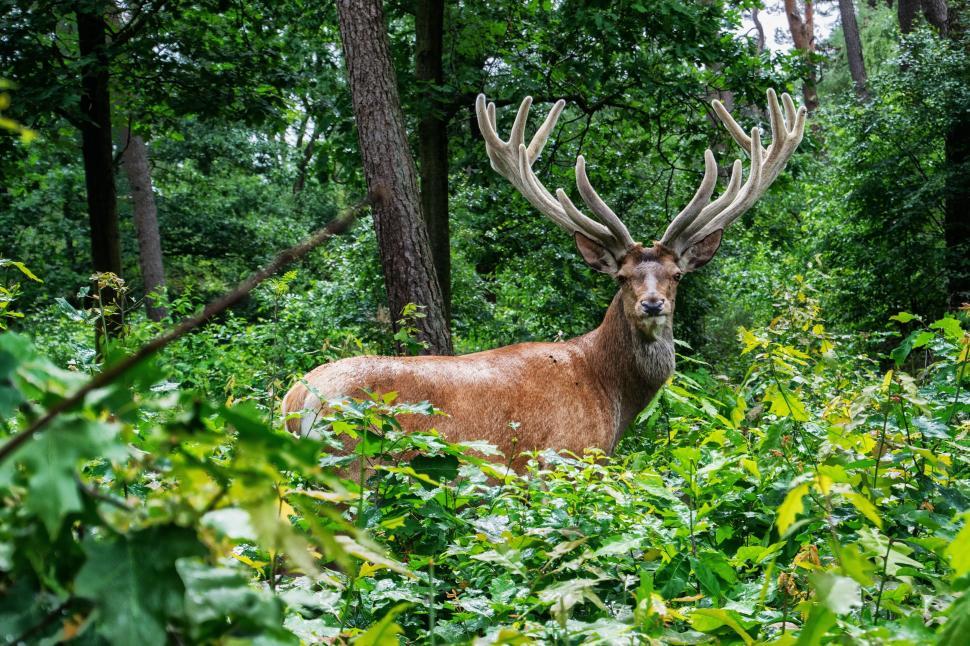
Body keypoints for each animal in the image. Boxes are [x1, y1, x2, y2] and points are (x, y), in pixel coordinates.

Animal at [282, 89, 806, 469]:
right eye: (621, 277)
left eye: (677, 275)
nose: (653, 304)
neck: (609, 394)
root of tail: (292, 404)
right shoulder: (561, 458)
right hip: (349, 464)